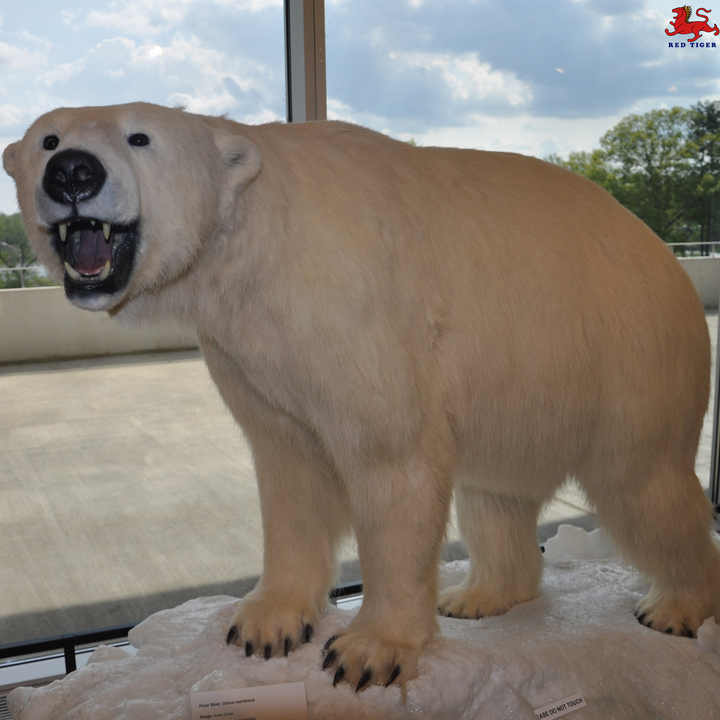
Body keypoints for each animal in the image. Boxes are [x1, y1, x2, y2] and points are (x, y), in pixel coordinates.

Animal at [3, 102, 718, 691]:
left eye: (140, 136)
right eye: (48, 138)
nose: (71, 172)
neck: (260, 239)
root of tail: (662, 254)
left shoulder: (355, 301)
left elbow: (391, 462)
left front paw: (367, 651)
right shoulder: (247, 347)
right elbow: (289, 466)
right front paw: (266, 624)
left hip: (628, 356)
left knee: (644, 486)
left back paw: (678, 607)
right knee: (495, 495)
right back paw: (478, 595)